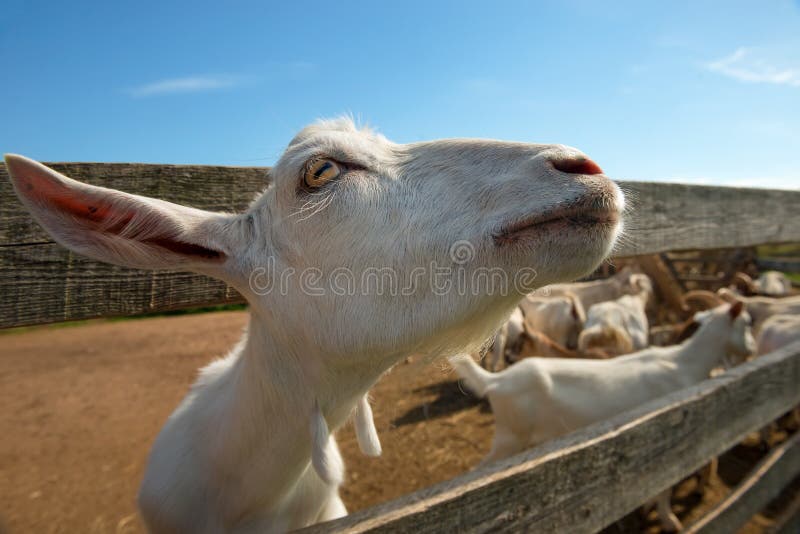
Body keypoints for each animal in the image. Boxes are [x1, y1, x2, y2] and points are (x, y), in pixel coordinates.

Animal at [450, 301, 754, 531]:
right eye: (748, 322)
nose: (752, 350)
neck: (684, 362)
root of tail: (496, 381)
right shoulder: (672, 430)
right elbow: (666, 486)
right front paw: (669, 520)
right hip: (509, 438)